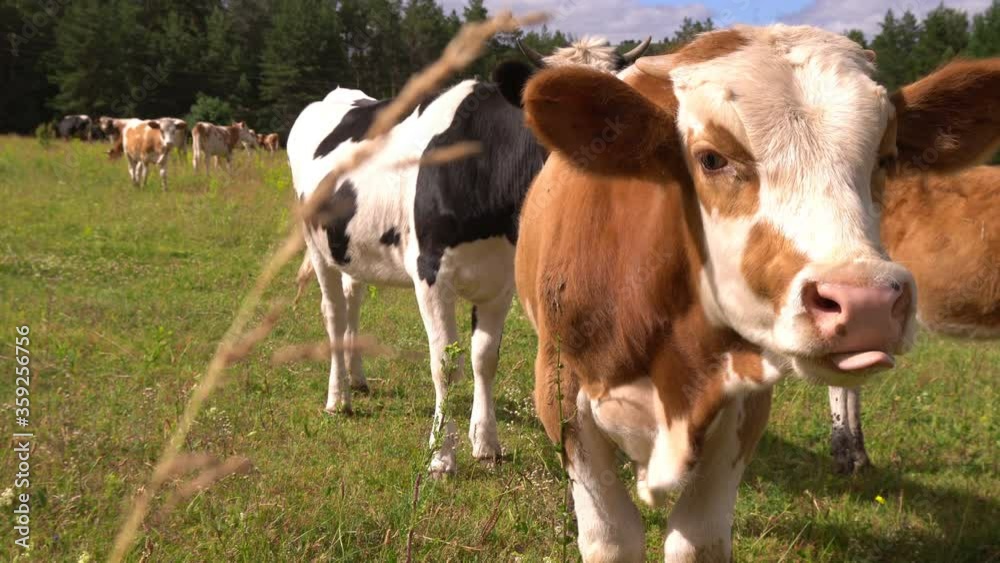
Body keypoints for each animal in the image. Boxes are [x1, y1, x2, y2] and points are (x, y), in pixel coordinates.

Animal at [287, 36, 652, 477]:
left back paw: (357, 380)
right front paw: (441, 457)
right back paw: (339, 397)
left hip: (350, 246)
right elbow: (445, 363)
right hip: (316, 244)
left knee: (353, 297)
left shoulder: (500, 281)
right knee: (334, 313)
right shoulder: (430, 275)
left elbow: (484, 358)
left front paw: (487, 443)